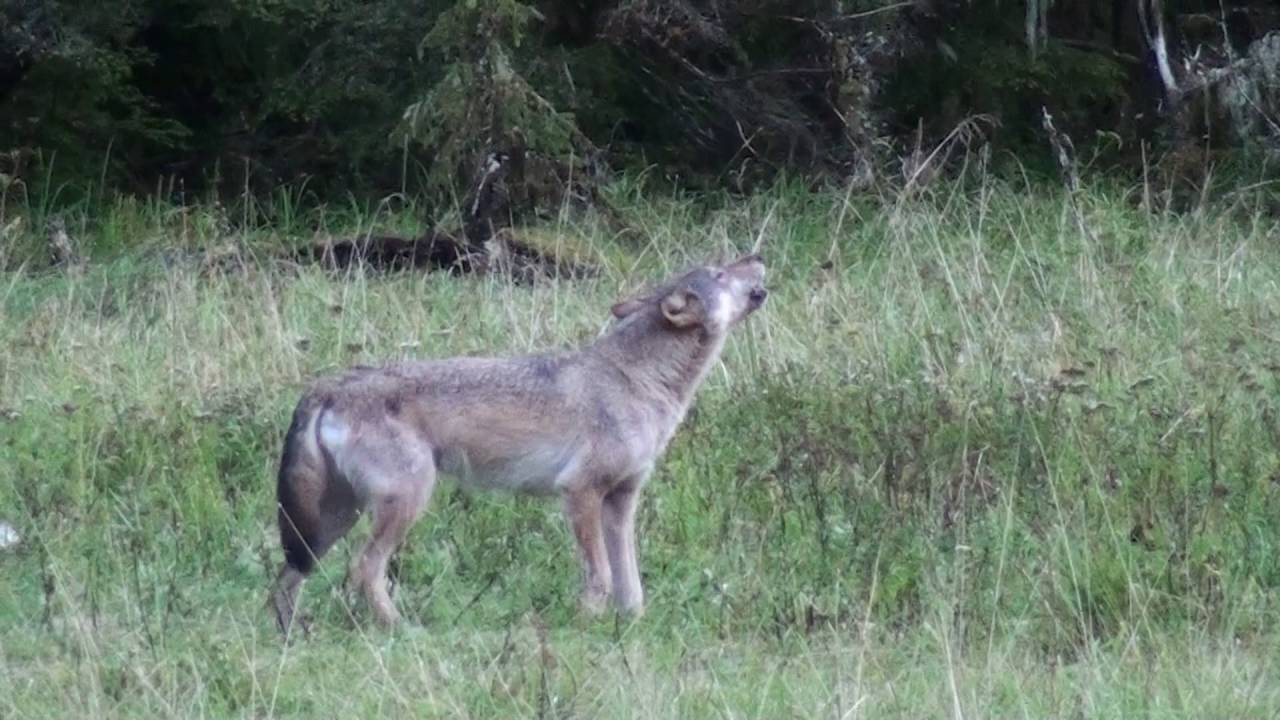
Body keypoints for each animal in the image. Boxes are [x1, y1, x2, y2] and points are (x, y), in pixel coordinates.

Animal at [271, 253, 768, 633]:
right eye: (720, 272)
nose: (759, 256)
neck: (639, 381)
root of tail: (326, 387)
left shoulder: (622, 501)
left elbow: (631, 586)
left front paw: (631, 631)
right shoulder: (580, 492)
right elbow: (601, 578)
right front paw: (584, 627)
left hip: (334, 521)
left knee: (287, 577)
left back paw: (293, 636)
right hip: (403, 502)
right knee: (363, 570)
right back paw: (402, 630)